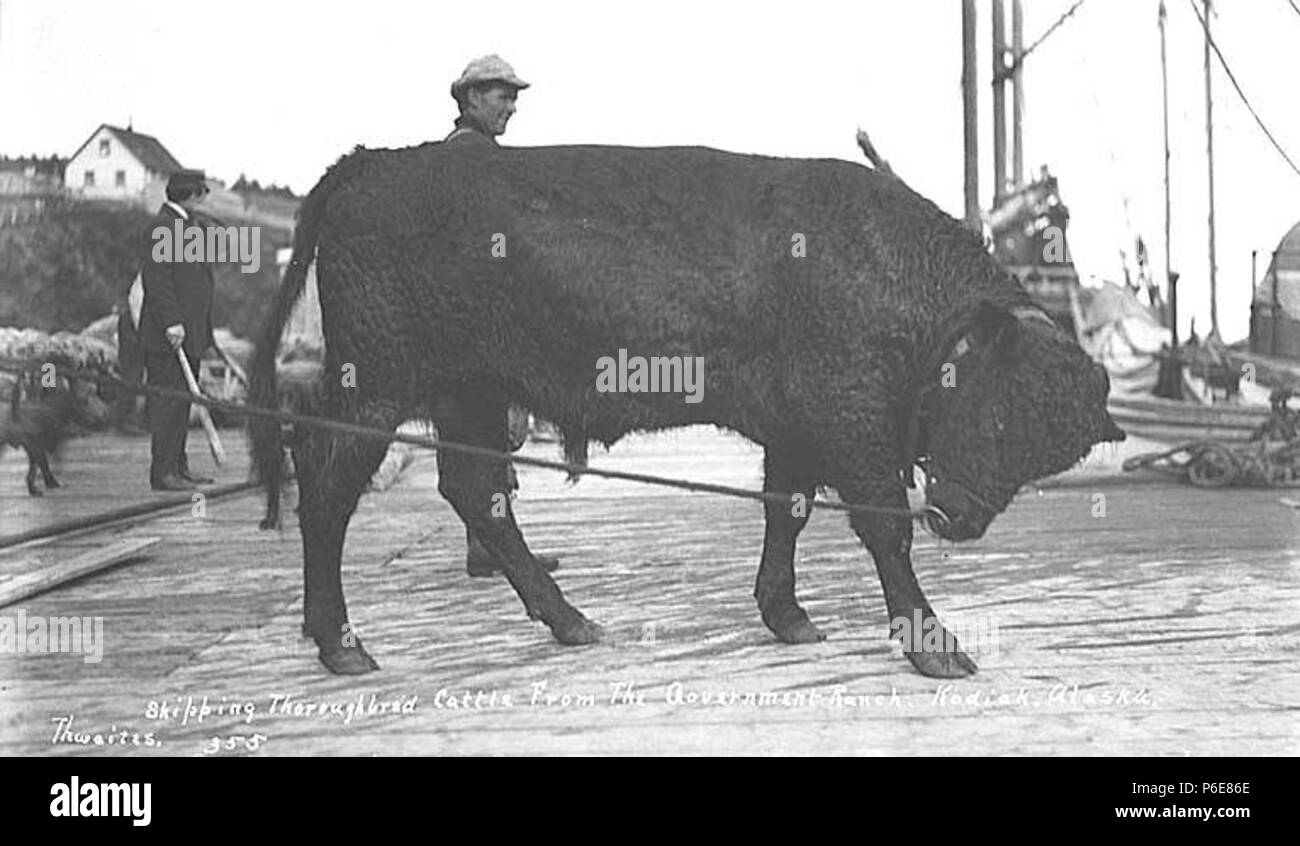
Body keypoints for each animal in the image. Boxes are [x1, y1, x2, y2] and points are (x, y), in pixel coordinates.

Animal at [249, 142, 1125, 678]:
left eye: (1051, 452)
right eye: (1003, 416)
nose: (963, 519)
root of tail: (379, 162)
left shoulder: (794, 431)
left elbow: (787, 510)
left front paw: (789, 616)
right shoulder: (850, 426)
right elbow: (883, 528)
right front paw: (936, 647)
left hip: (470, 393)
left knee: (475, 493)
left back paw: (571, 621)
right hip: (377, 387)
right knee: (327, 484)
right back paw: (342, 646)